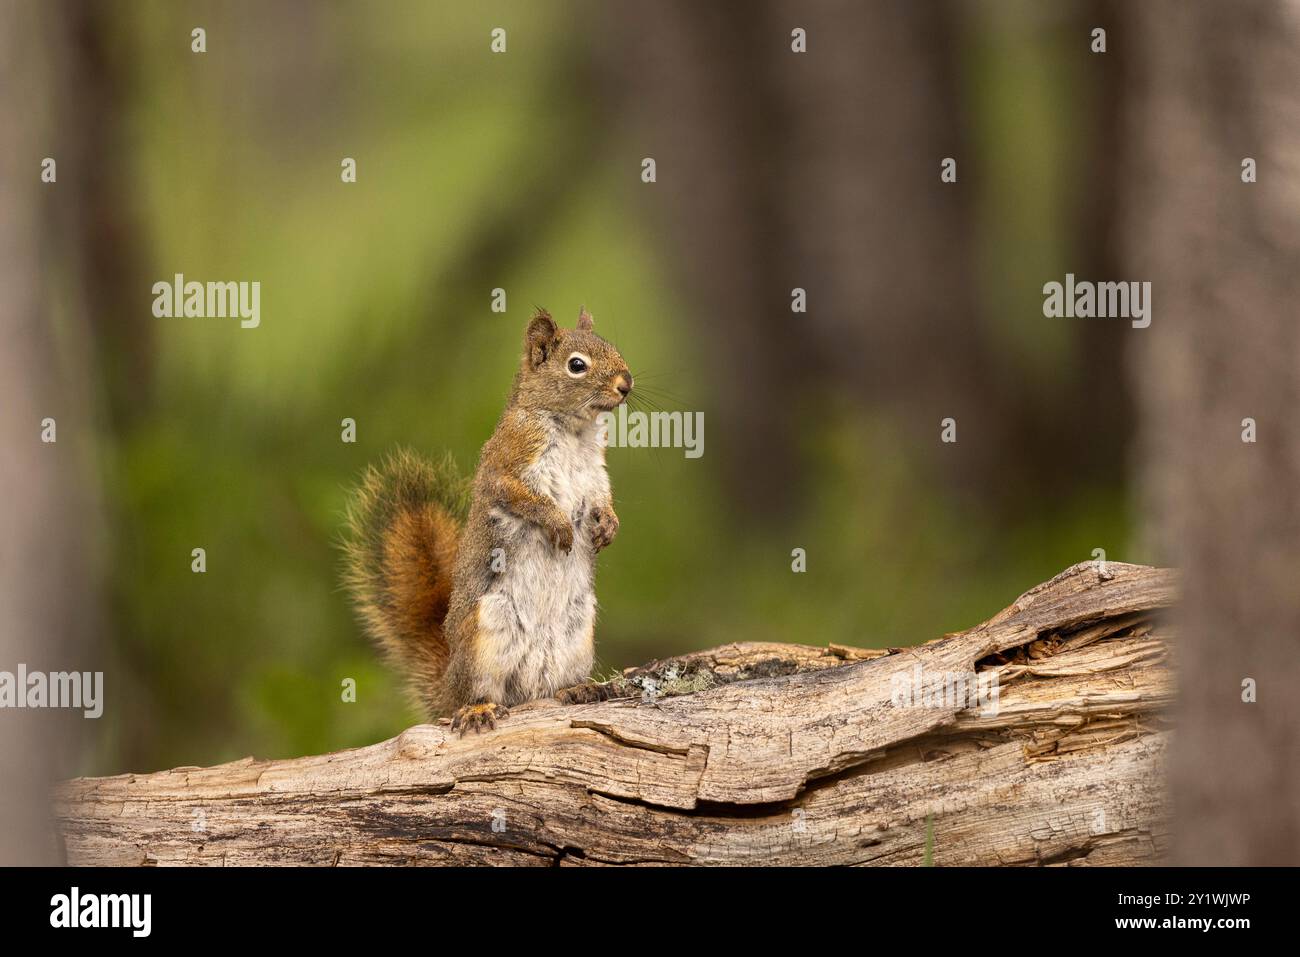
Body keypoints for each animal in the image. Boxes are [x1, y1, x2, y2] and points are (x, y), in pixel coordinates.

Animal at [342, 307, 633, 734]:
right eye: (577, 365)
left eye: (612, 346)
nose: (626, 384)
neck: (574, 430)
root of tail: (448, 687)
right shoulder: (506, 463)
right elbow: (521, 497)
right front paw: (558, 523)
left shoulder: (596, 475)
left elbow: (601, 500)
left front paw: (609, 524)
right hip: (486, 638)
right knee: (479, 692)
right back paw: (477, 709)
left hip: (578, 633)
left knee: (548, 688)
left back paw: (576, 688)